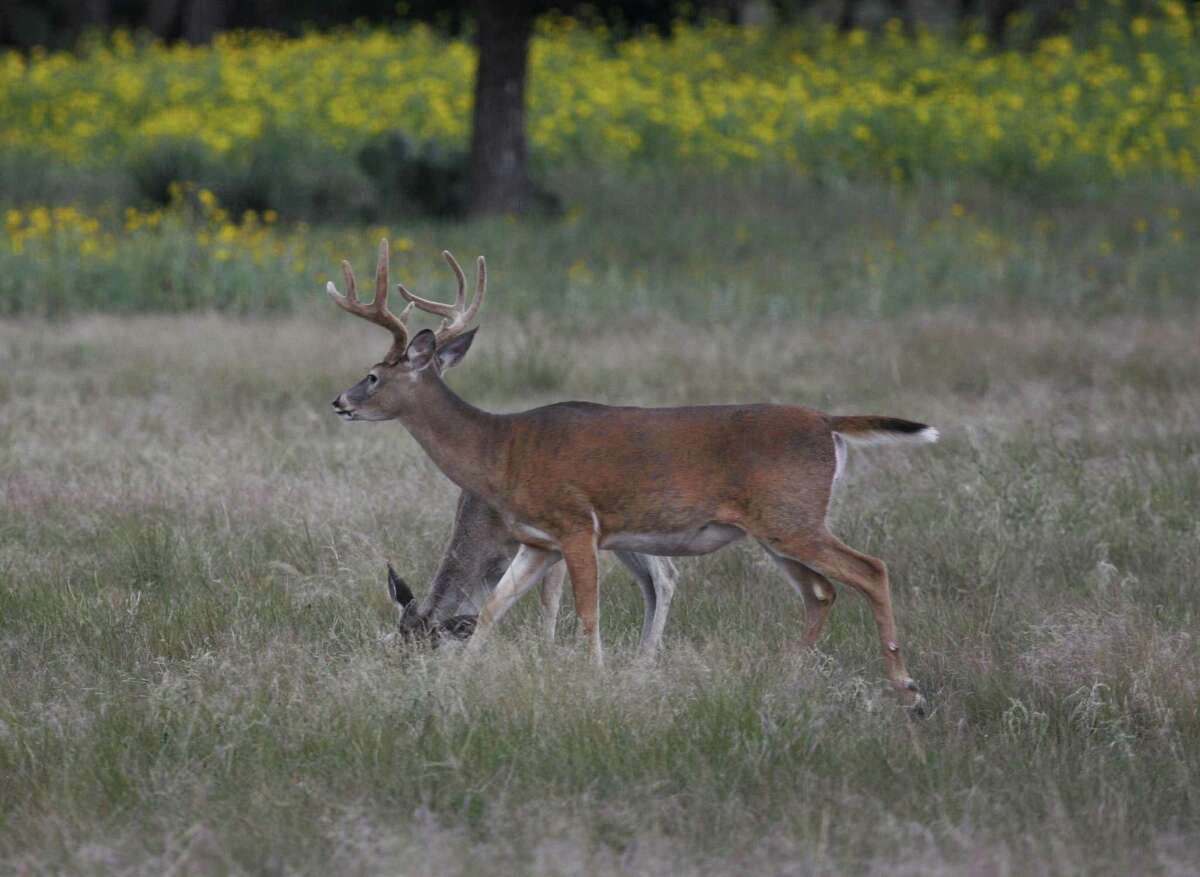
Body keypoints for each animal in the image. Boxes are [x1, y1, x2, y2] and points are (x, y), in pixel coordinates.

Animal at [328, 240, 938, 714]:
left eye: (373, 375)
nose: (339, 402)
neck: (500, 451)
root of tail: (828, 422)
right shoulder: (537, 540)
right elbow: (493, 610)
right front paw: (462, 680)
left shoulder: (577, 524)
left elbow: (585, 614)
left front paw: (591, 678)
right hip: (776, 526)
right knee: (822, 591)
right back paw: (792, 677)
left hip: (793, 516)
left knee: (871, 569)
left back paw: (908, 690)